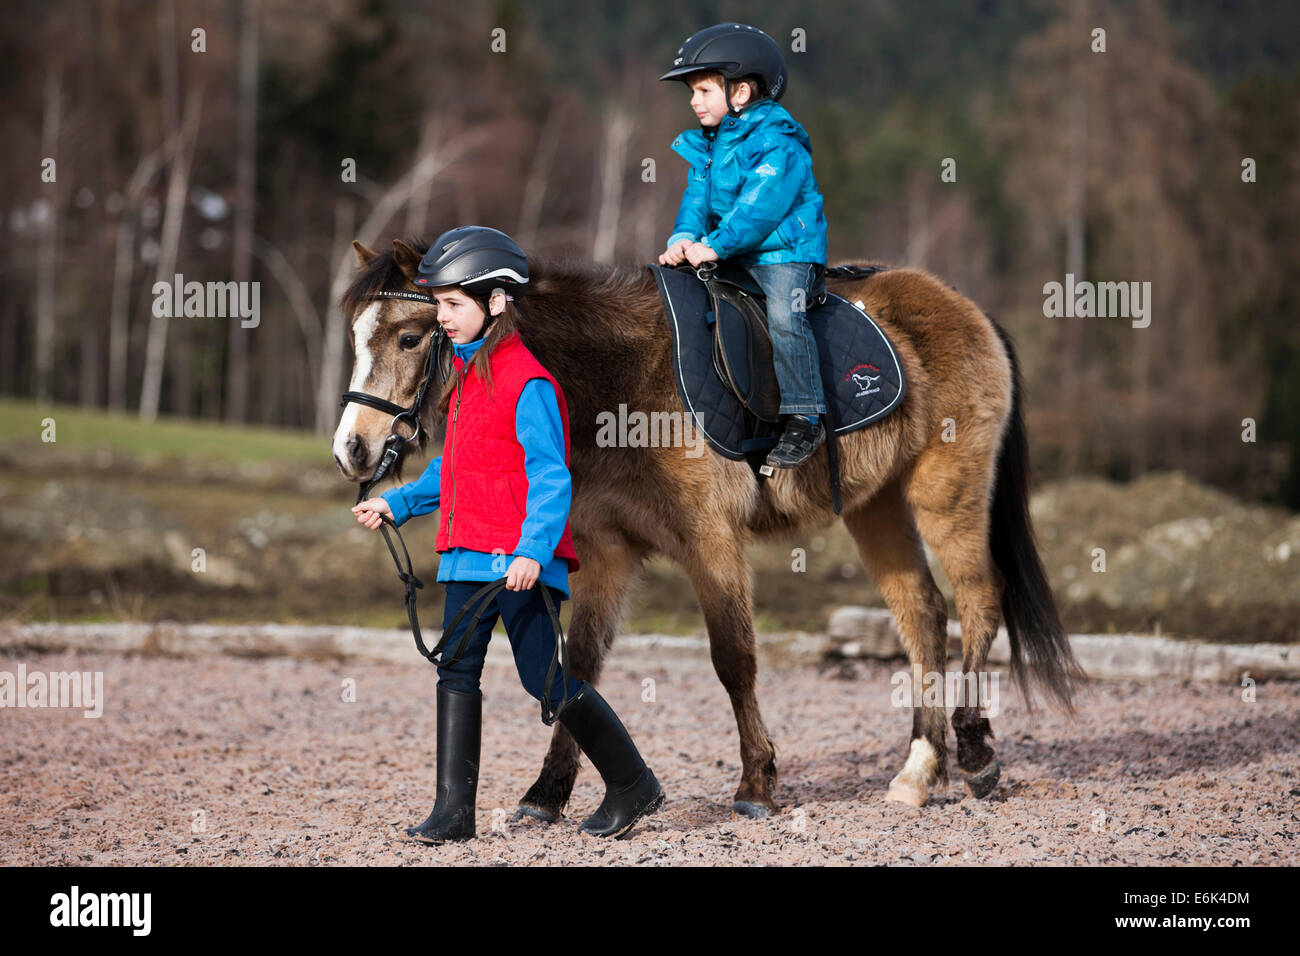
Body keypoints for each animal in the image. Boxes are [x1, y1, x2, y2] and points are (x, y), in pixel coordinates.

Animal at [333, 237, 1088, 816]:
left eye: (409, 336)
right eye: (356, 339)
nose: (352, 450)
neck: (617, 381)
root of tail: (965, 307)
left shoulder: (711, 542)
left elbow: (733, 658)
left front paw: (757, 784)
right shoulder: (606, 553)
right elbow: (577, 666)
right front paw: (548, 792)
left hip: (945, 494)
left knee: (978, 600)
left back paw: (975, 750)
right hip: (875, 508)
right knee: (924, 614)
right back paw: (918, 770)